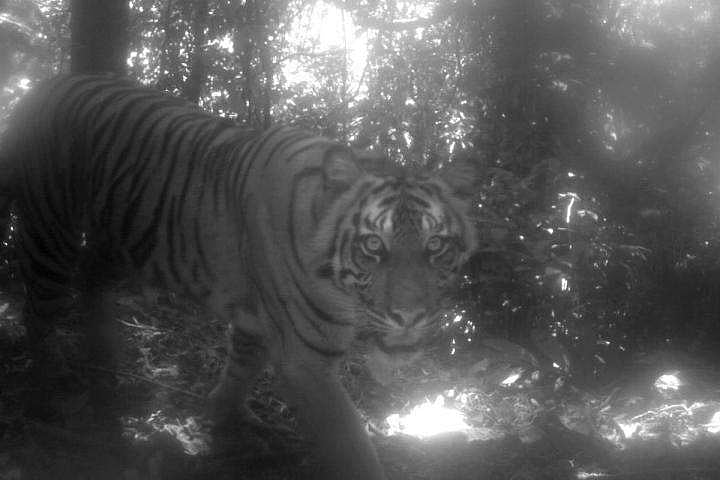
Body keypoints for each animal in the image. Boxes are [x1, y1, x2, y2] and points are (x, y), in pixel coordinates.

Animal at [0, 74, 478, 479]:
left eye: (436, 245)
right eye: (373, 246)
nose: (410, 317)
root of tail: (40, 88)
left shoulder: (259, 323)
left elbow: (242, 367)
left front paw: (223, 416)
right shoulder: (307, 359)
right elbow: (353, 447)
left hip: (119, 237)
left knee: (89, 279)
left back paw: (105, 355)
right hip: (51, 234)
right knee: (37, 316)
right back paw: (47, 395)